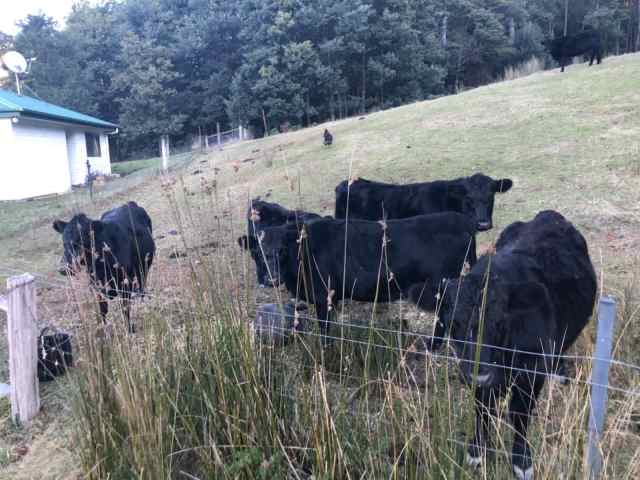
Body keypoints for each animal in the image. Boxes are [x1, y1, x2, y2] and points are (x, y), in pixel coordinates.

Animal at [53, 202, 155, 333]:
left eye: (81, 240)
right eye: (63, 242)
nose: (63, 269)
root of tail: (129, 203)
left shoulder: (124, 284)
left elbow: (125, 308)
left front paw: (129, 330)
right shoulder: (97, 286)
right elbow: (103, 310)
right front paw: (104, 329)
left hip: (143, 266)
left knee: (142, 280)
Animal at [258, 212, 477, 335]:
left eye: (282, 249)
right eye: (262, 250)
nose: (271, 279)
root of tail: (461, 219)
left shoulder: (323, 296)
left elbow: (325, 333)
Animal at [410, 210, 596, 479]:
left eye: (500, 322)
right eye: (453, 323)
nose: (479, 374)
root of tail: (548, 215)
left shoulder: (531, 373)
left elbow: (519, 414)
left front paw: (522, 461)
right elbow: (482, 410)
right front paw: (476, 451)